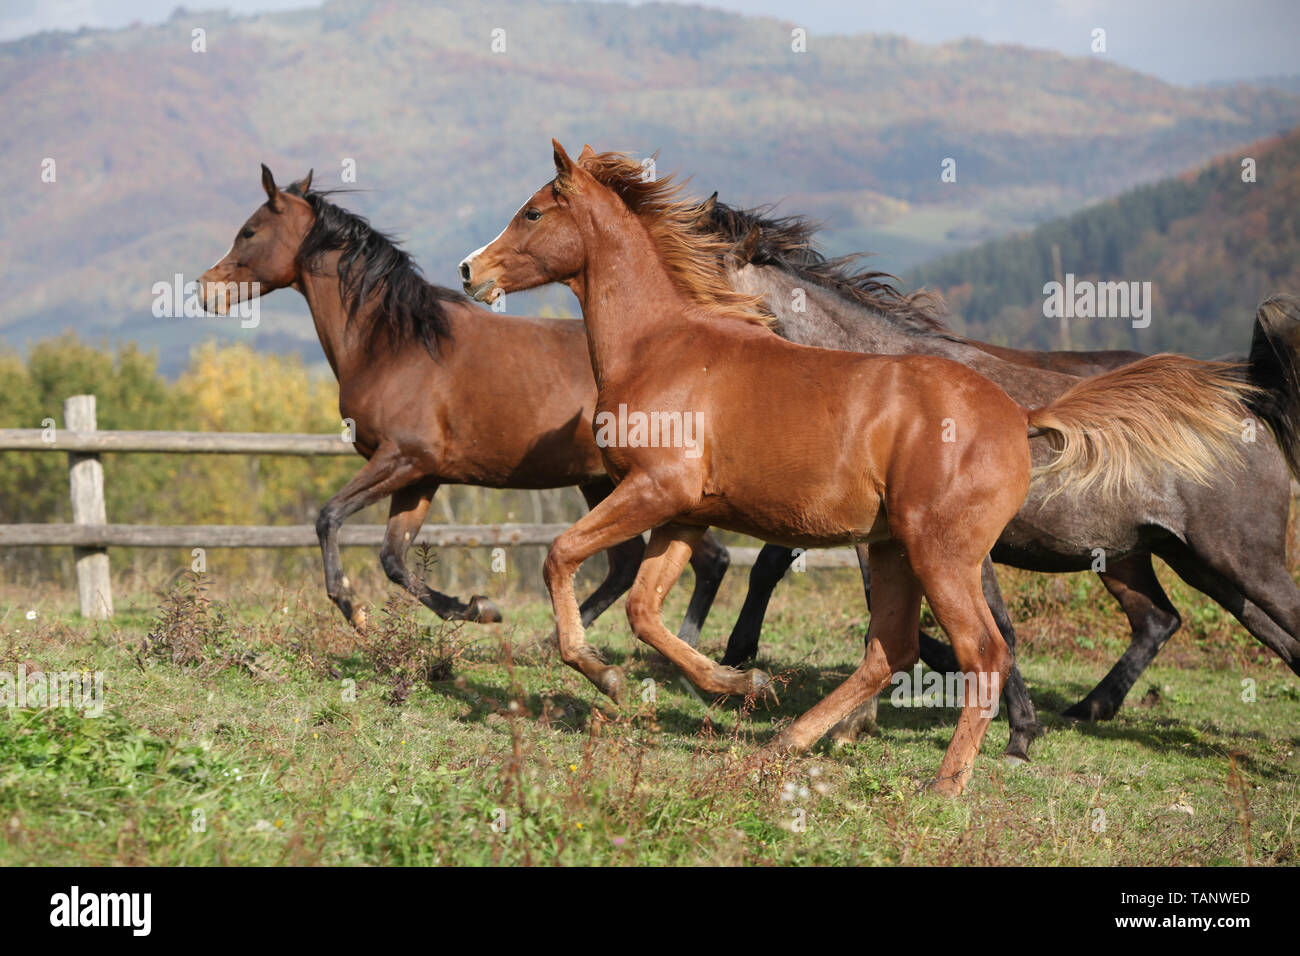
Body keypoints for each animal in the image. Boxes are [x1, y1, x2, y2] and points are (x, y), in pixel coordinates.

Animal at [196, 165, 731, 645]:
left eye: (249, 231)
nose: (205, 290)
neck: (394, 344)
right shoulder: (421, 476)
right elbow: (394, 558)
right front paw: (477, 608)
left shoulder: (403, 458)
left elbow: (328, 517)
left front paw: (356, 610)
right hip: (605, 484)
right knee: (633, 566)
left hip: (651, 489)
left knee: (709, 559)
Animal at [702, 201, 1300, 749]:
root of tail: (1248, 402)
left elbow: (979, 626)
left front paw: (1014, 730)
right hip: (1190, 562)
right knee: (1205, 625)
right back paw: (1090, 707)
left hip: (1236, 558)